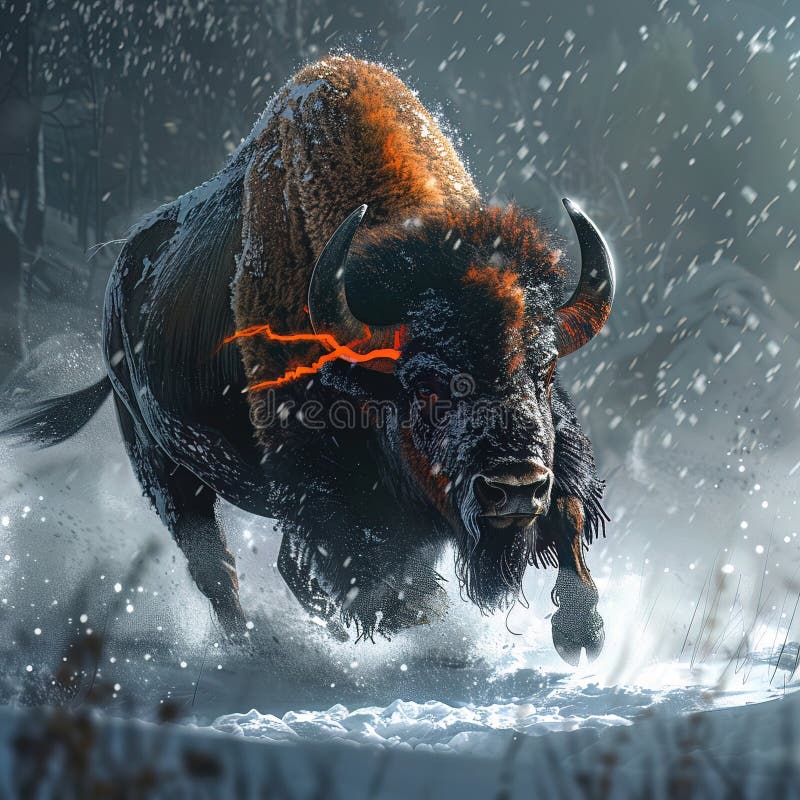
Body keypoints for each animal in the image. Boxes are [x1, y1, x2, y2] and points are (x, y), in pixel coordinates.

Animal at [5, 55, 615, 664]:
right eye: (425, 385)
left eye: (543, 371)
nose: (514, 486)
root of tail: (120, 279)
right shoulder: (330, 495)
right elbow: (385, 581)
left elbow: (567, 512)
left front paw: (582, 632)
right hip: (160, 462)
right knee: (214, 566)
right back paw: (251, 647)